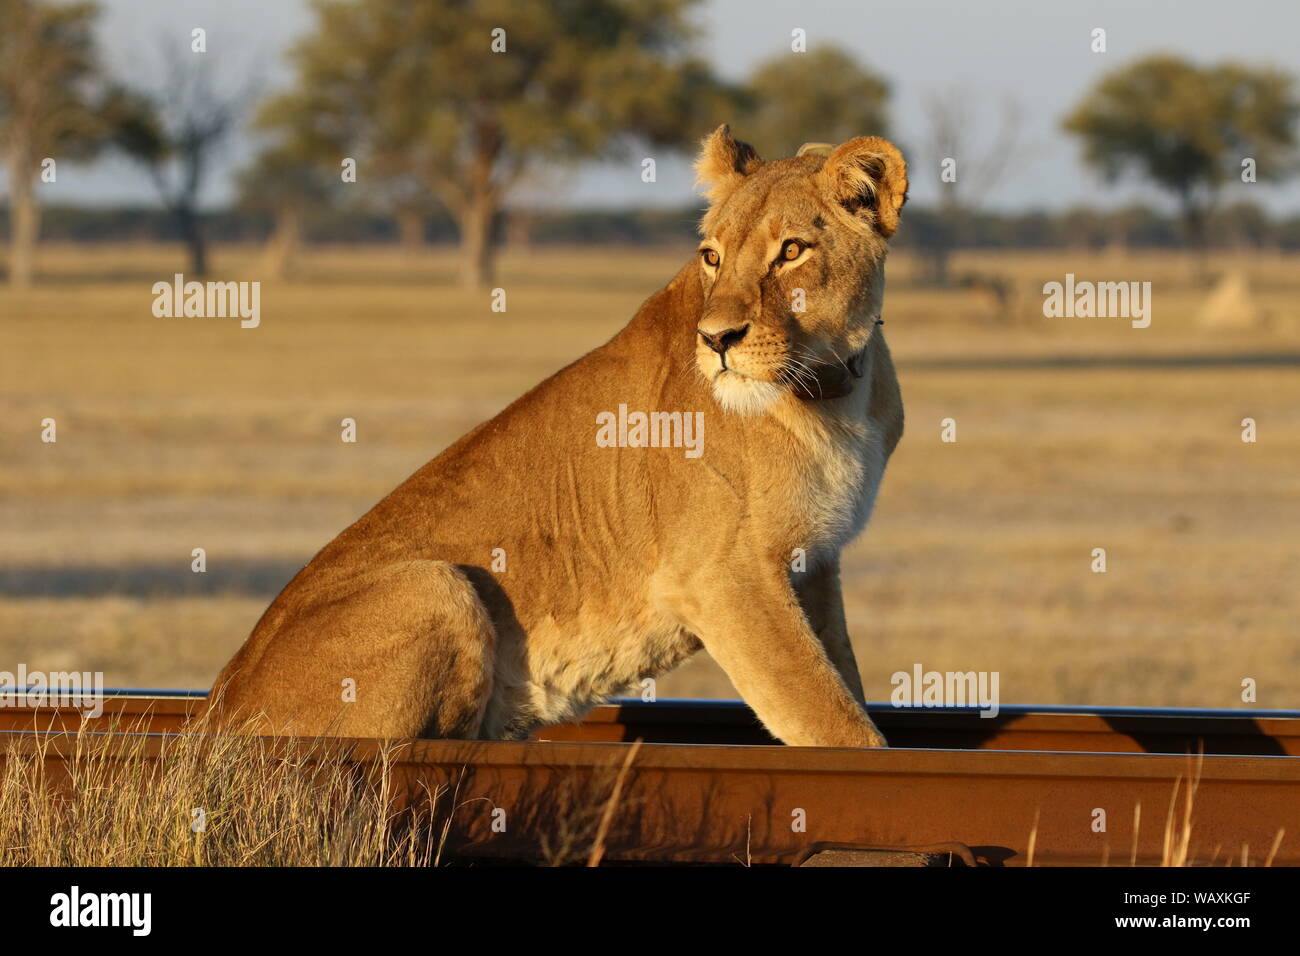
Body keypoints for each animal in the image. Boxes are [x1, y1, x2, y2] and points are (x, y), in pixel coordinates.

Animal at [208, 126, 908, 748]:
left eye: (791, 251)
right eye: (712, 256)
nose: (716, 340)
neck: (832, 390)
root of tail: (217, 710)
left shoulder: (812, 562)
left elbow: (842, 678)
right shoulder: (722, 576)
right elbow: (834, 720)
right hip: (437, 585)